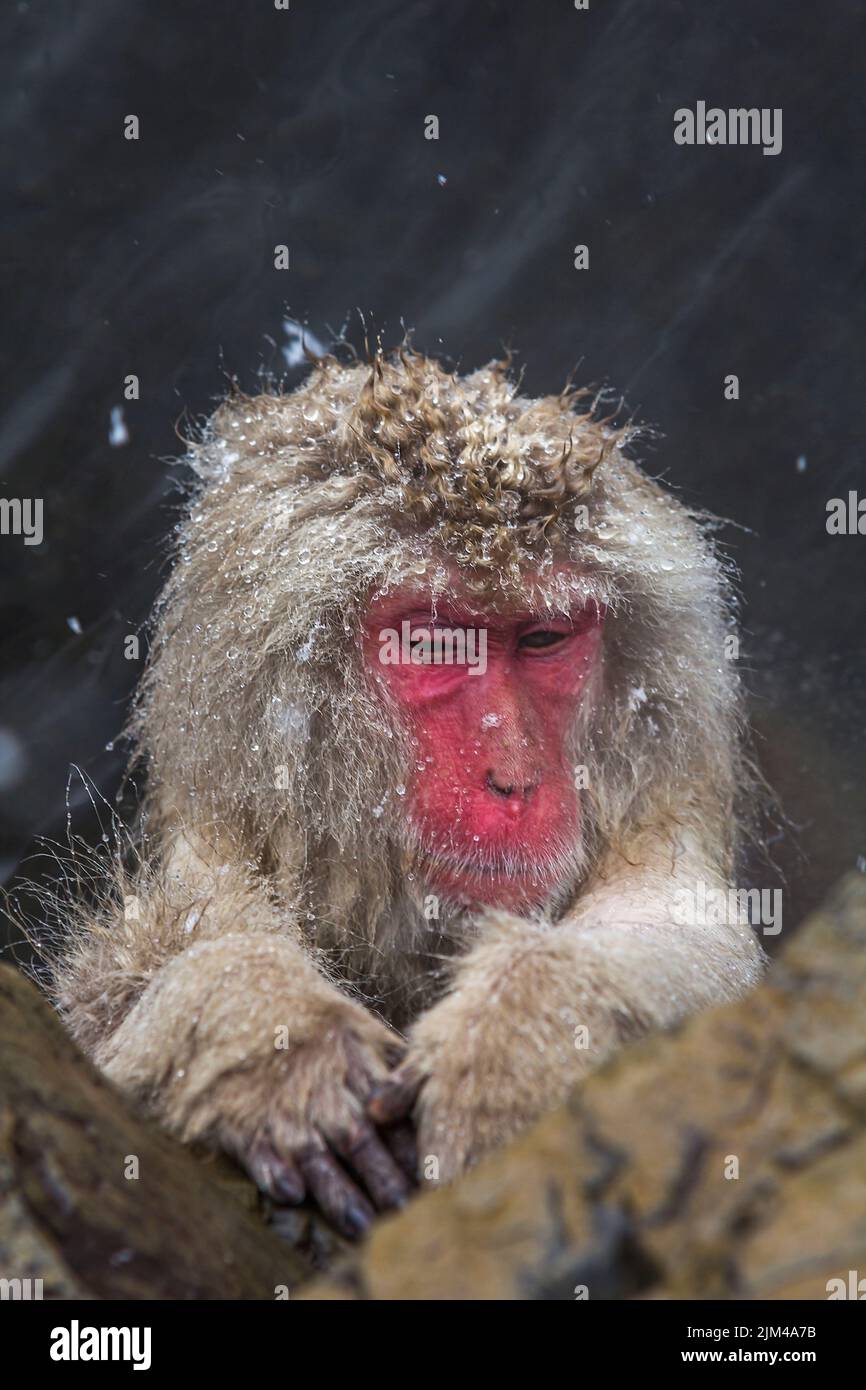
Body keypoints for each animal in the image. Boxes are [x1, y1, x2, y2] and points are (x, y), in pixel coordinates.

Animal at [49, 347, 766, 1238]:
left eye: (542, 639)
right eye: (434, 644)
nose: (516, 777)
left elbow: (684, 931)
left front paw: (523, 1029)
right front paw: (267, 1035)